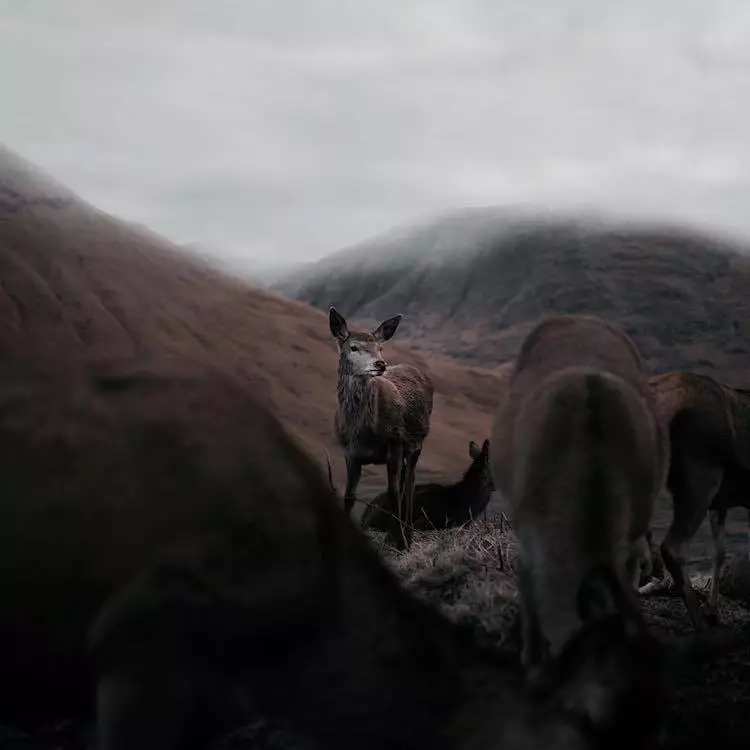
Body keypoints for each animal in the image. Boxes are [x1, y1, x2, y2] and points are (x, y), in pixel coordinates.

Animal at [328, 308, 434, 548]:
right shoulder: (350, 452)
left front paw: (401, 542)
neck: (364, 433)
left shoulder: (394, 444)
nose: (380, 364)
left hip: (416, 443)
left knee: (409, 482)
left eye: (380, 347)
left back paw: (407, 531)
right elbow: (349, 495)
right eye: (354, 347)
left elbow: (392, 492)